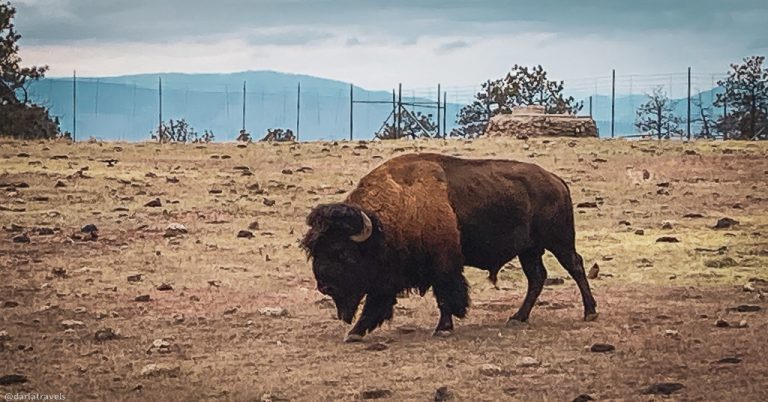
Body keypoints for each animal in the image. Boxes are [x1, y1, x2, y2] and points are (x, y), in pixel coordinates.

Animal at [301, 153, 598, 342]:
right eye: (315, 251)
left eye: (342, 252)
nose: (324, 286)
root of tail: (556, 181)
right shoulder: (388, 279)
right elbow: (377, 303)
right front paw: (354, 333)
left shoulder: (443, 266)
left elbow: (445, 296)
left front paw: (443, 328)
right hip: (529, 250)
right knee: (537, 277)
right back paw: (517, 317)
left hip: (559, 241)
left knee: (575, 266)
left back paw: (590, 312)